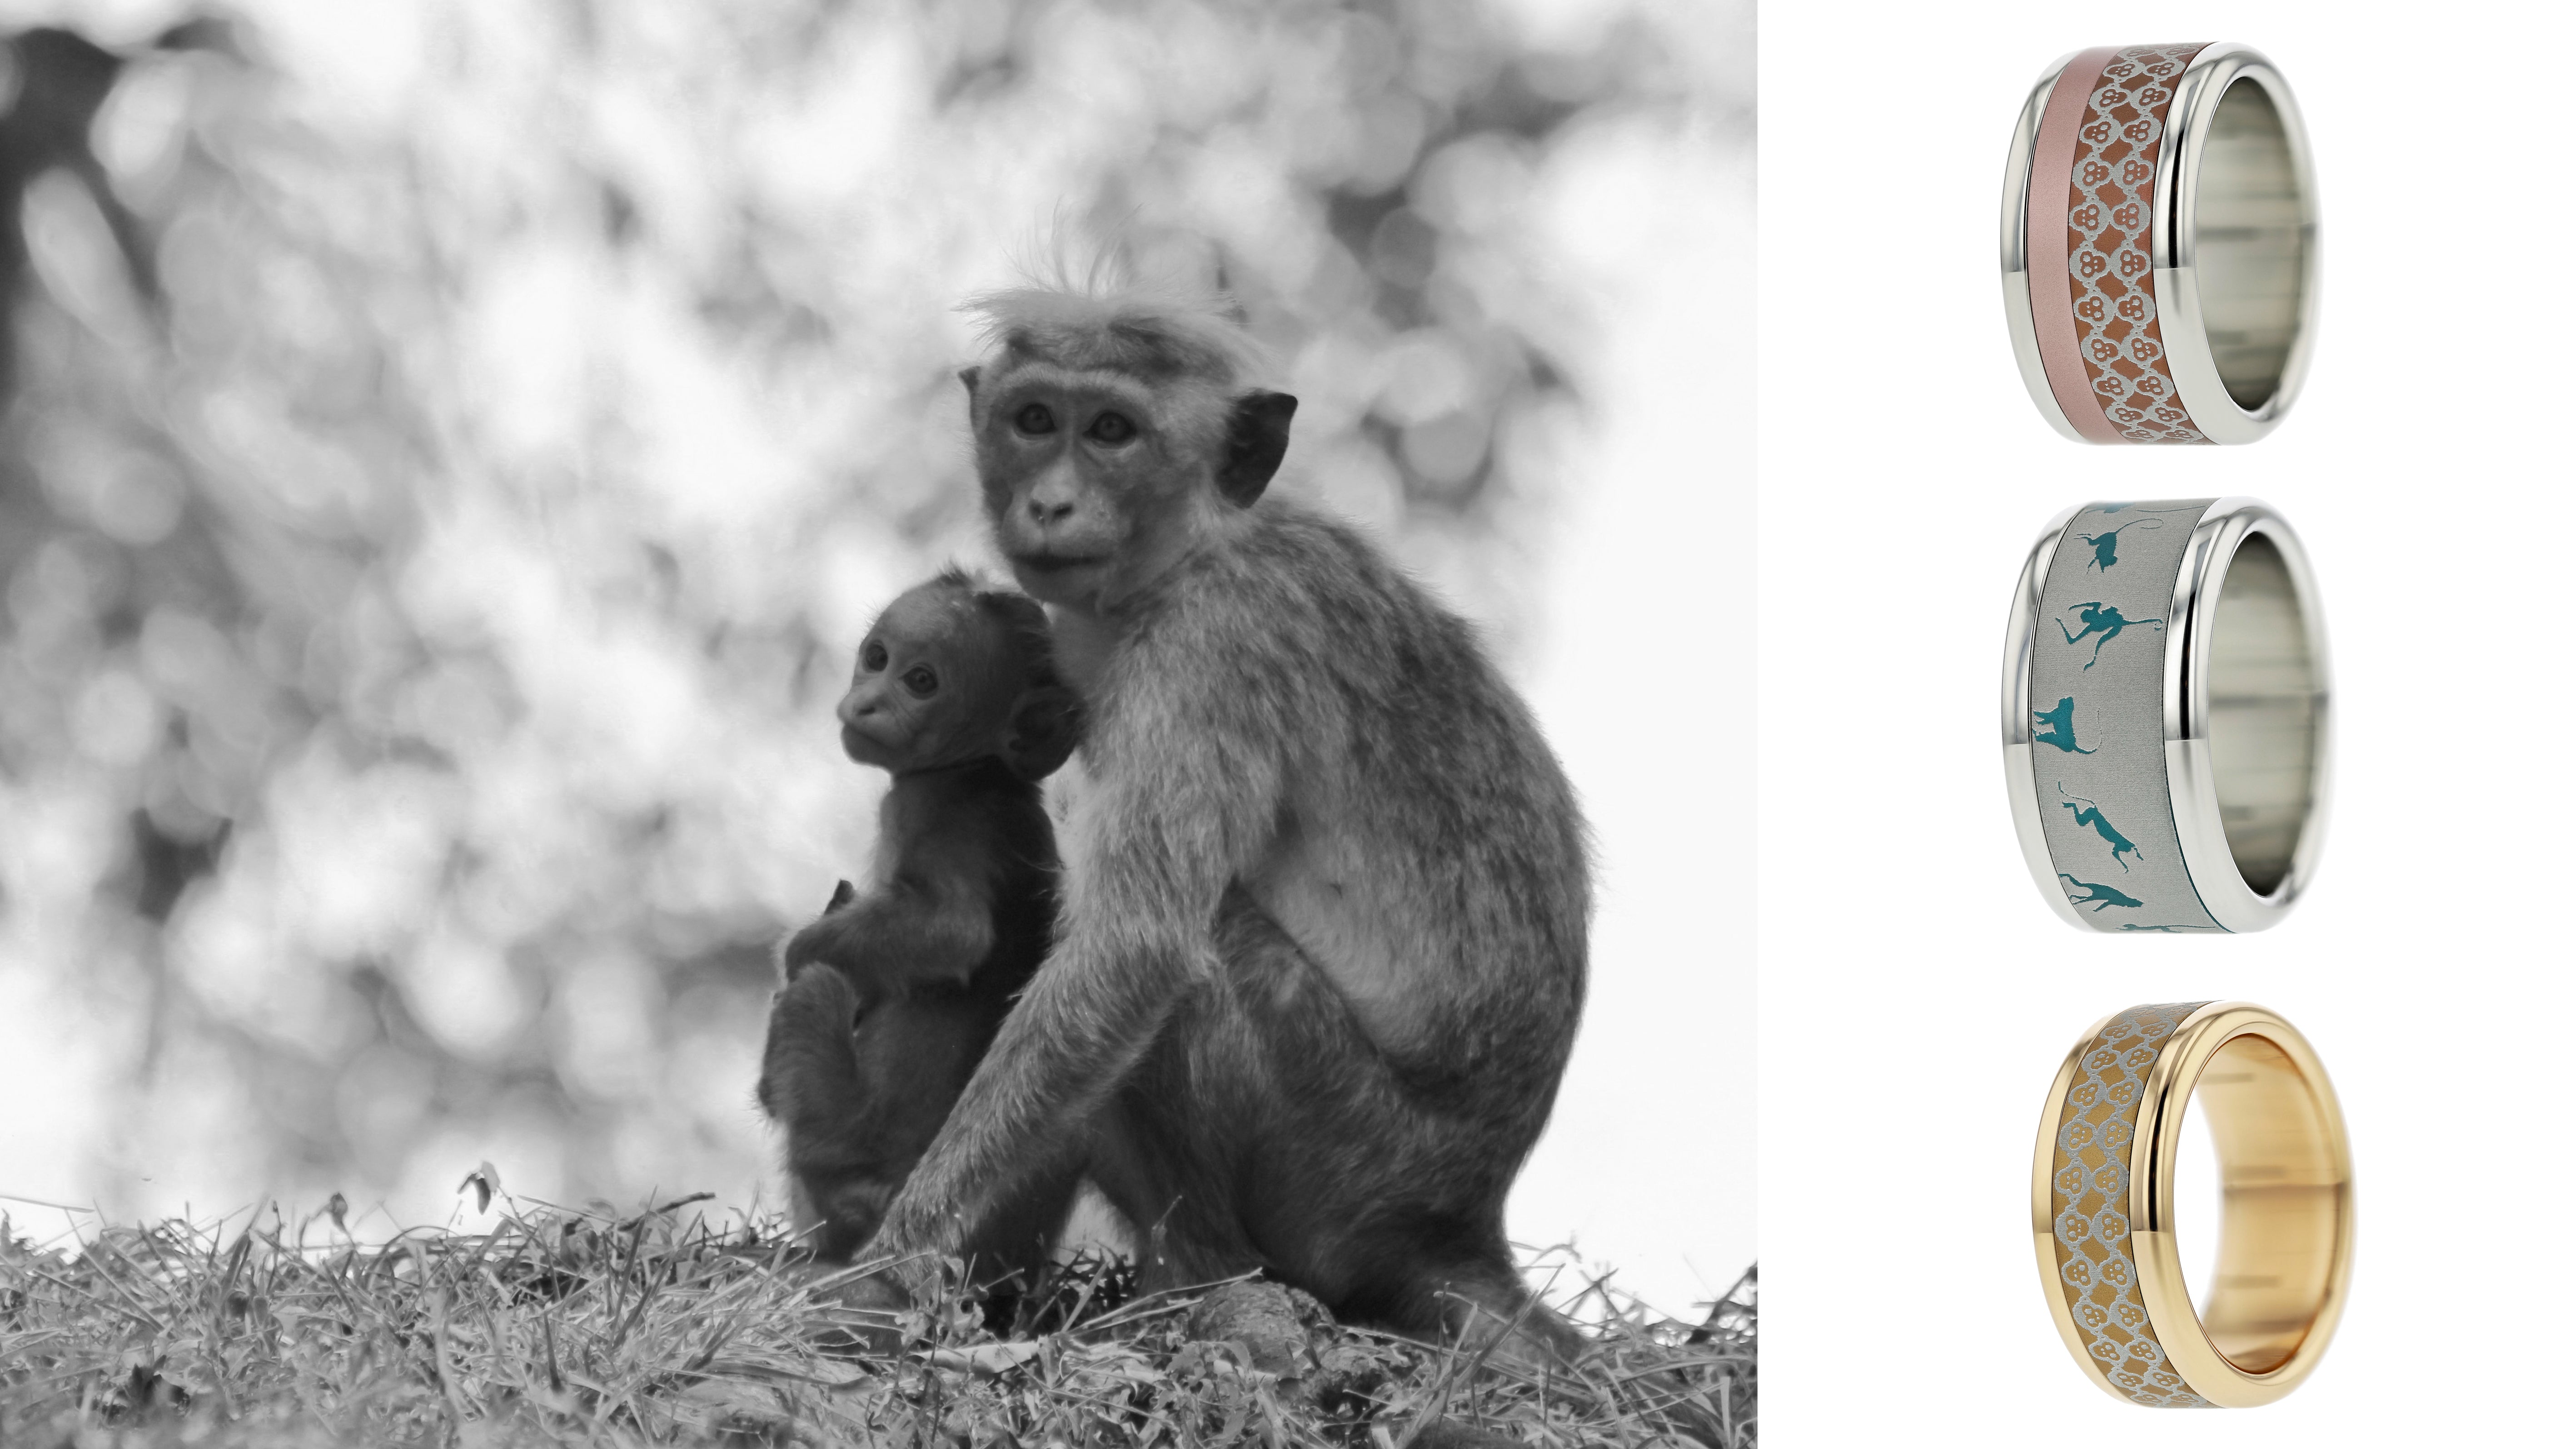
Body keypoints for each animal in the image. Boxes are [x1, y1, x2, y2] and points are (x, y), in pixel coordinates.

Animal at [754, 570, 1083, 1274]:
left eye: (921, 681)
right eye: (876, 658)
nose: (867, 703)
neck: (980, 770)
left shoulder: (930, 812)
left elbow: (953, 931)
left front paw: (802, 949)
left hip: (836, 1161)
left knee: (817, 995)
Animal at [847, 279, 1594, 1367]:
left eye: (1112, 431)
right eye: (1034, 420)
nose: (1050, 502)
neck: (1195, 547)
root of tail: (1460, 1227)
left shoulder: (1213, 651)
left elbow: (1134, 950)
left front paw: (892, 1254)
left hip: (1343, 1173)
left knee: (1197, 952)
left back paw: (1201, 1280)